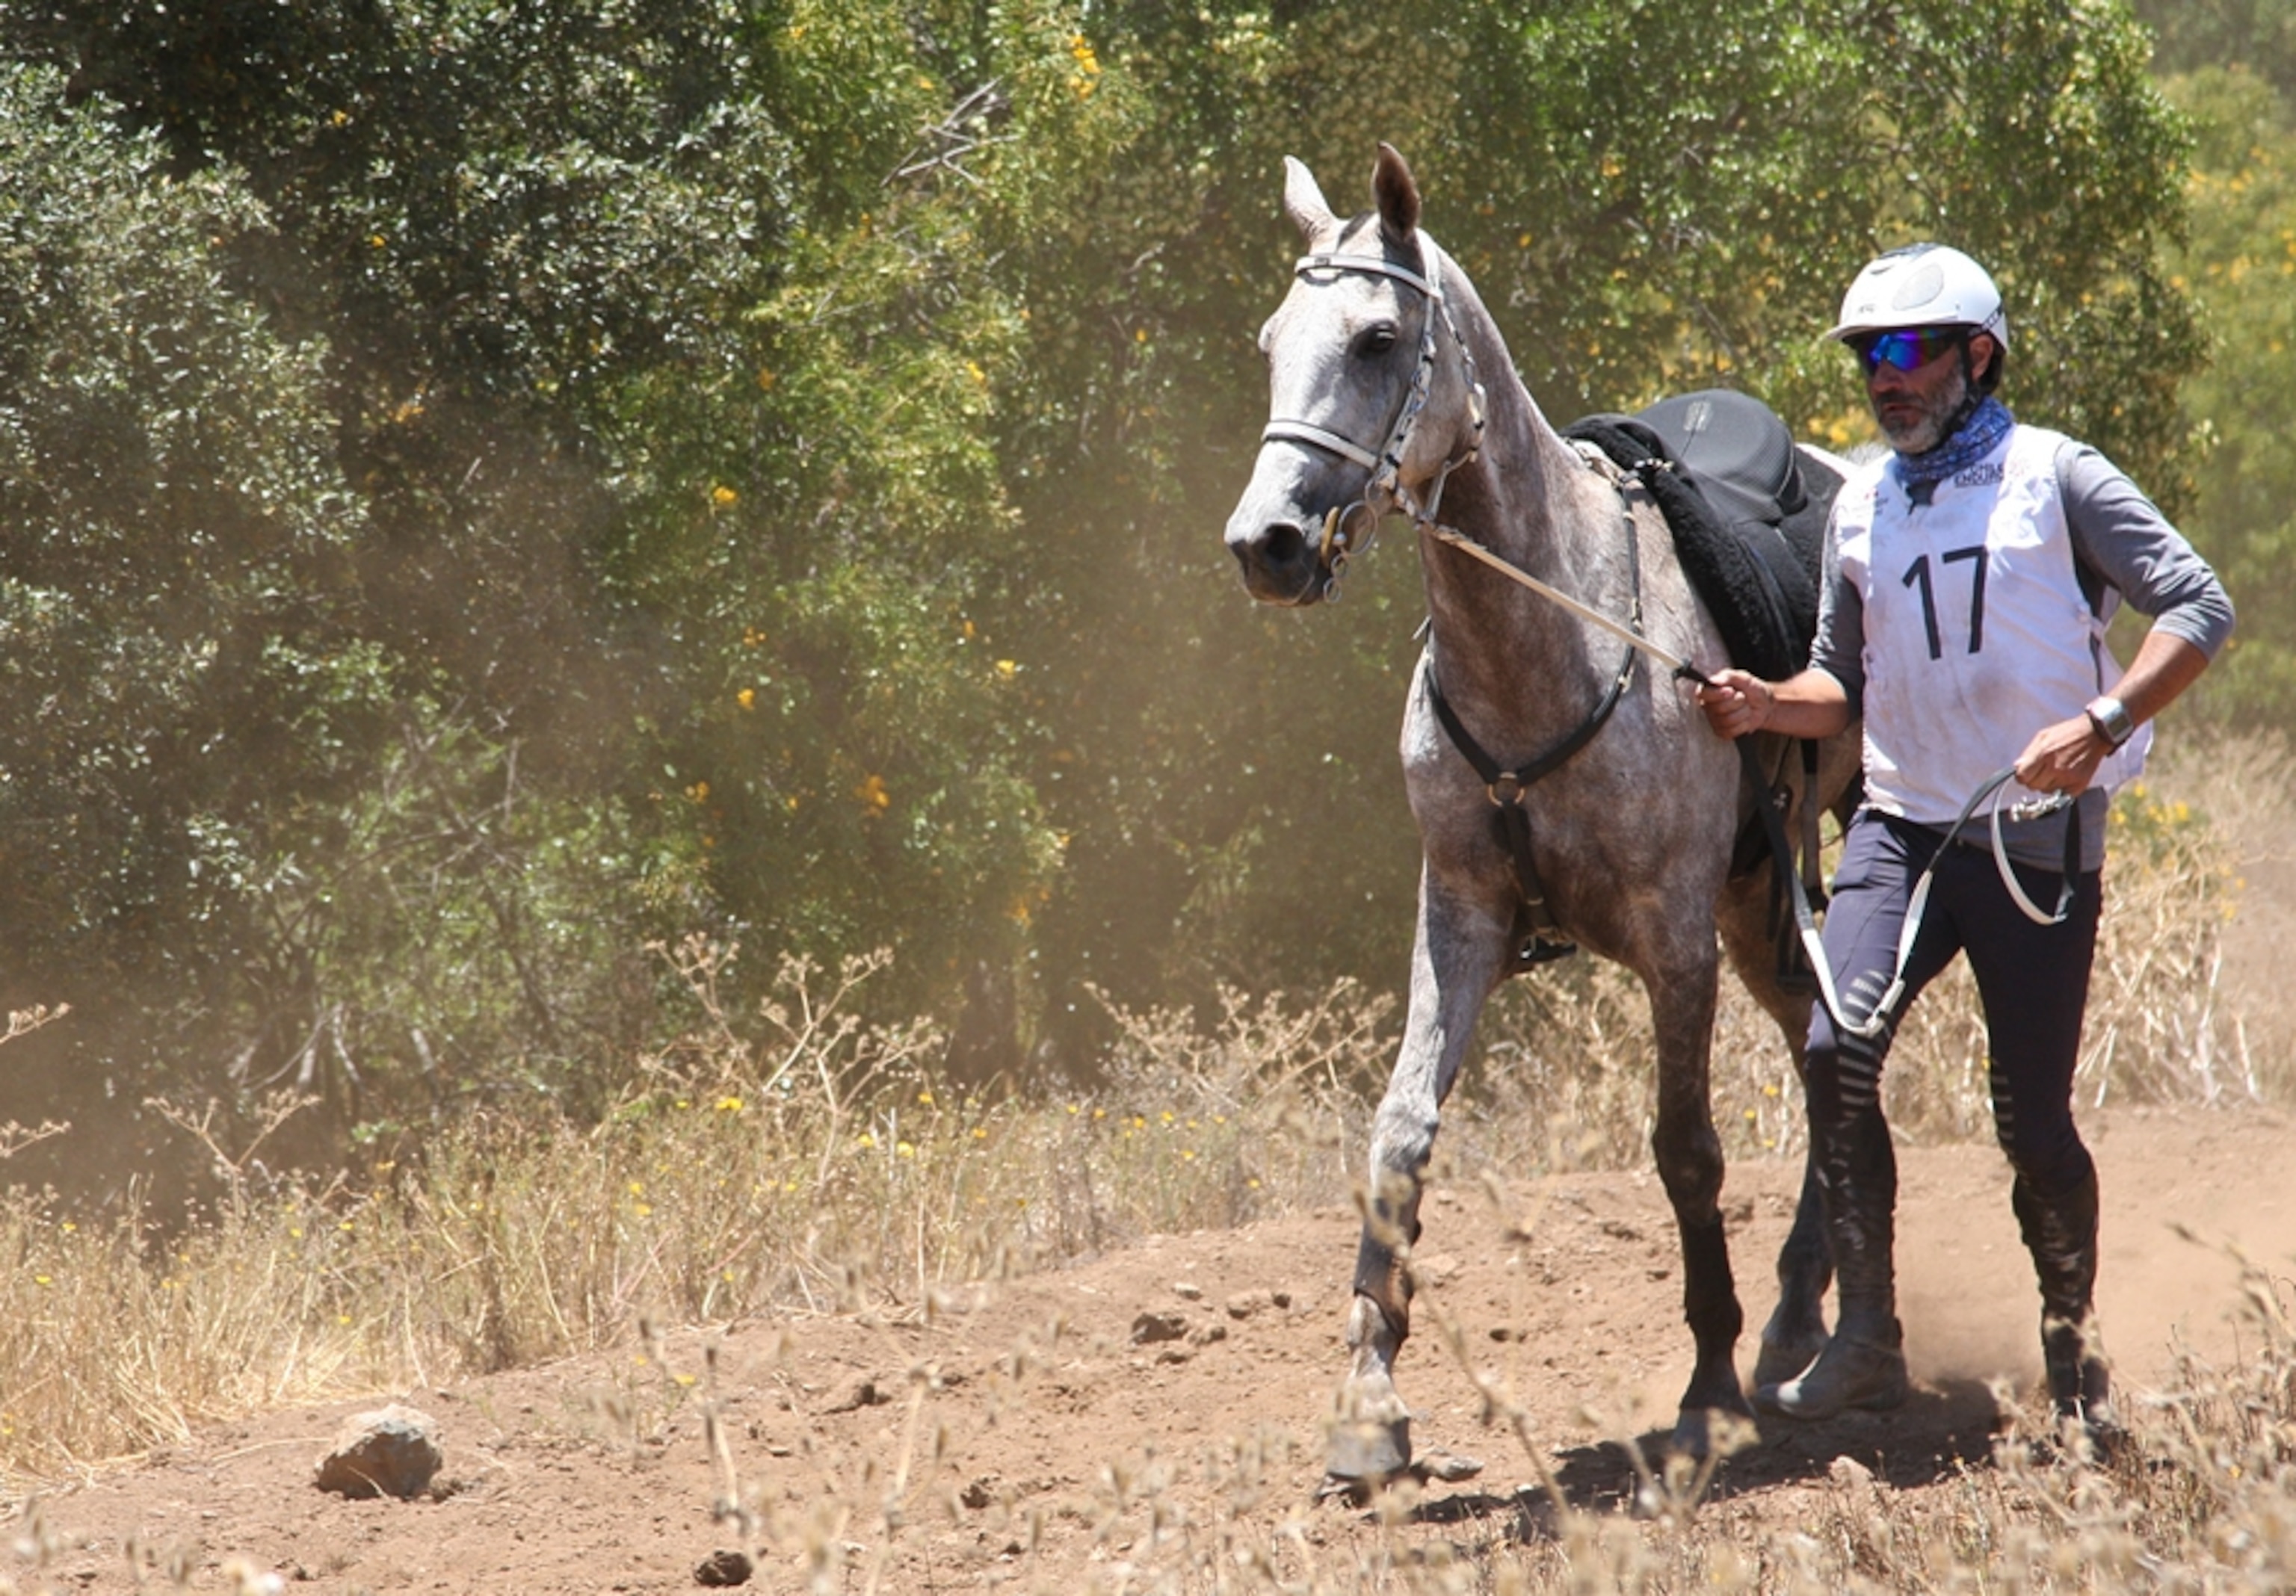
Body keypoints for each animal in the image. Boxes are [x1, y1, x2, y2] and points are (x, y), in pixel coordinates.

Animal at [1221, 145, 1864, 1486]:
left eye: (1375, 338)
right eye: (1269, 342)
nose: (1267, 542)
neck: (1549, 640)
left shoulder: (1673, 940)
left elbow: (1685, 1149)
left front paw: (1705, 1387)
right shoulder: (1458, 917)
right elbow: (1400, 1135)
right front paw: (1368, 1398)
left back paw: (1784, 1327)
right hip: (1756, 910)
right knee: (1817, 1045)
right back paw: (1796, 1309)